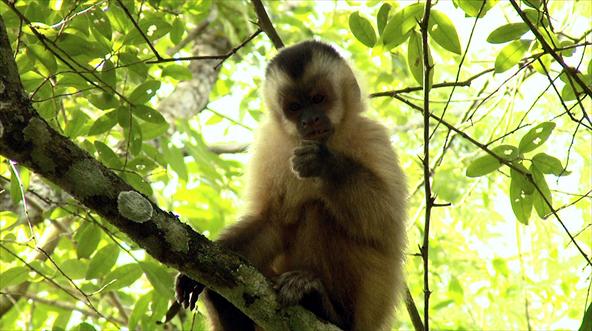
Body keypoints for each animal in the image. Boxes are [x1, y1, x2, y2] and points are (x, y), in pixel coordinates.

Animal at [176, 39, 408, 331]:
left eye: (319, 99)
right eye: (295, 107)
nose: (310, 119)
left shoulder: (372, 137)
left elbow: (385, 223)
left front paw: (325, 165)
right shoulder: (270, 146)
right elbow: (272, 221)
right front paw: (195, 278)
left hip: (370, 305)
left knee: (319, 210)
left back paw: (327, 307)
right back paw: (226, 309)